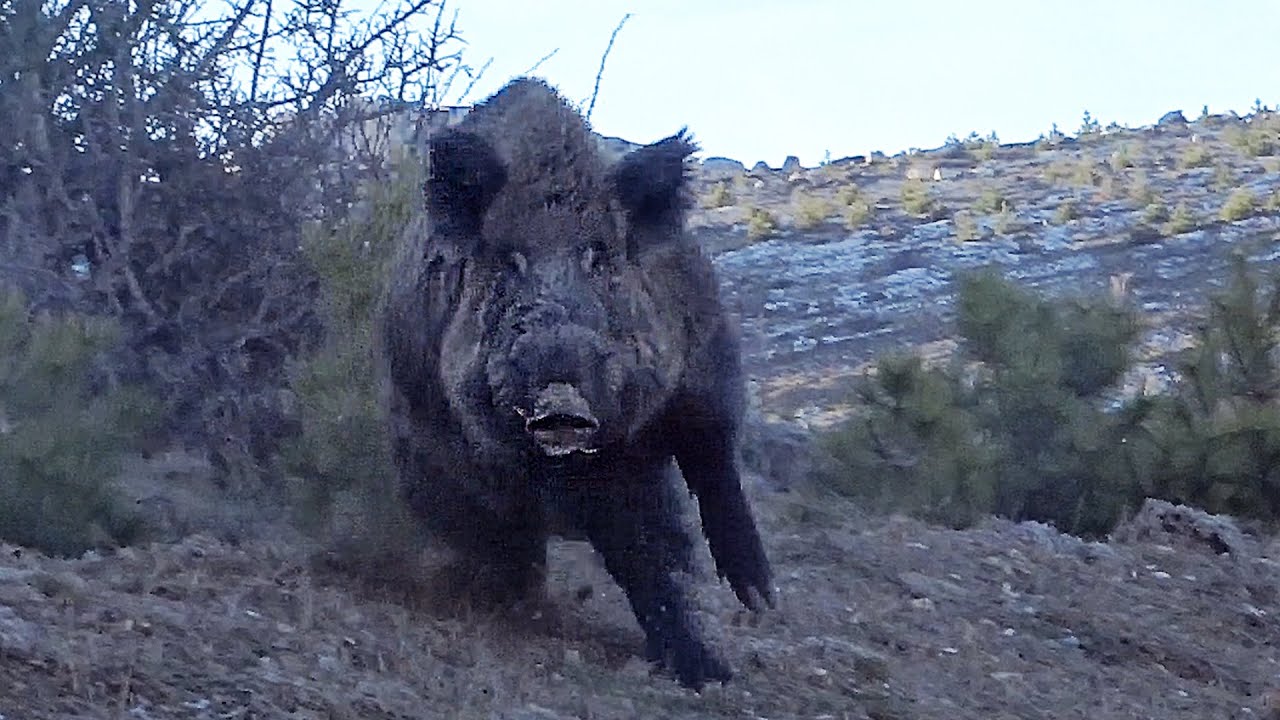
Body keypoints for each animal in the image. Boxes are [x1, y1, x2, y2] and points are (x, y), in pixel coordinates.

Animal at [380, 77, 773, 689]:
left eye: (599, 256)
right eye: (508, 260)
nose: (559, 386)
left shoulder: (667, 410)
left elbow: (668, 532)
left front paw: (715, 666)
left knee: (709, 466)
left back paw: (755, 598)